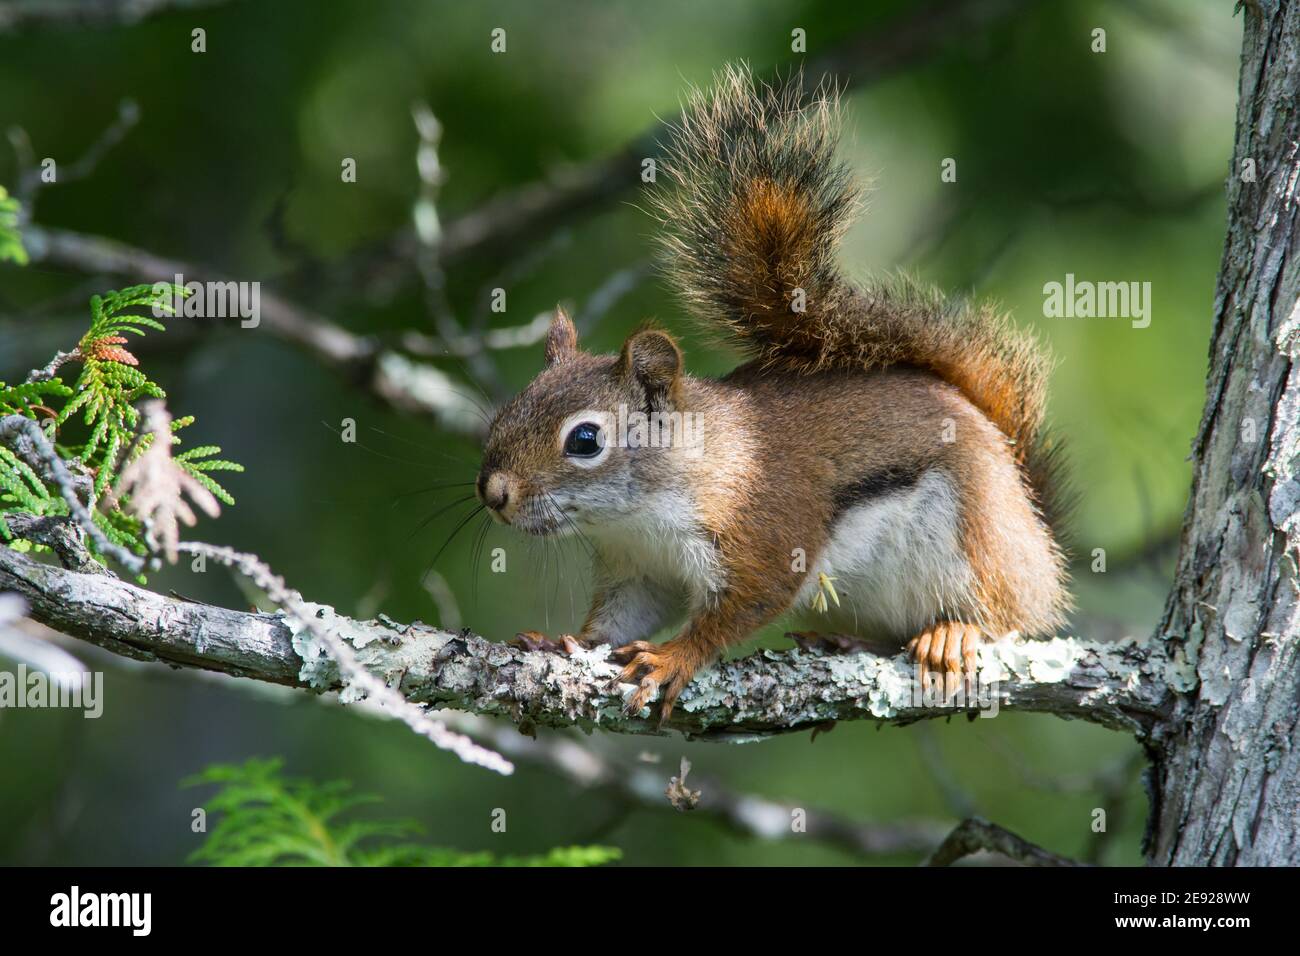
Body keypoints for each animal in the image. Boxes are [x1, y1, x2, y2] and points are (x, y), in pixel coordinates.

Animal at [475, 65, 1070, 720]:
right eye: (503, 415)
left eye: (584, 440)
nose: (493, 493)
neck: (642, 513)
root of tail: (1034, 526)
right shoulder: (639, 570)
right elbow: (620, 619)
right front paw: (567, 640)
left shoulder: (766, 530)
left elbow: (744, 607)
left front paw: (676, 656)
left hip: (978, 535)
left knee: (1006, 614)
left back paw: (954, 632)